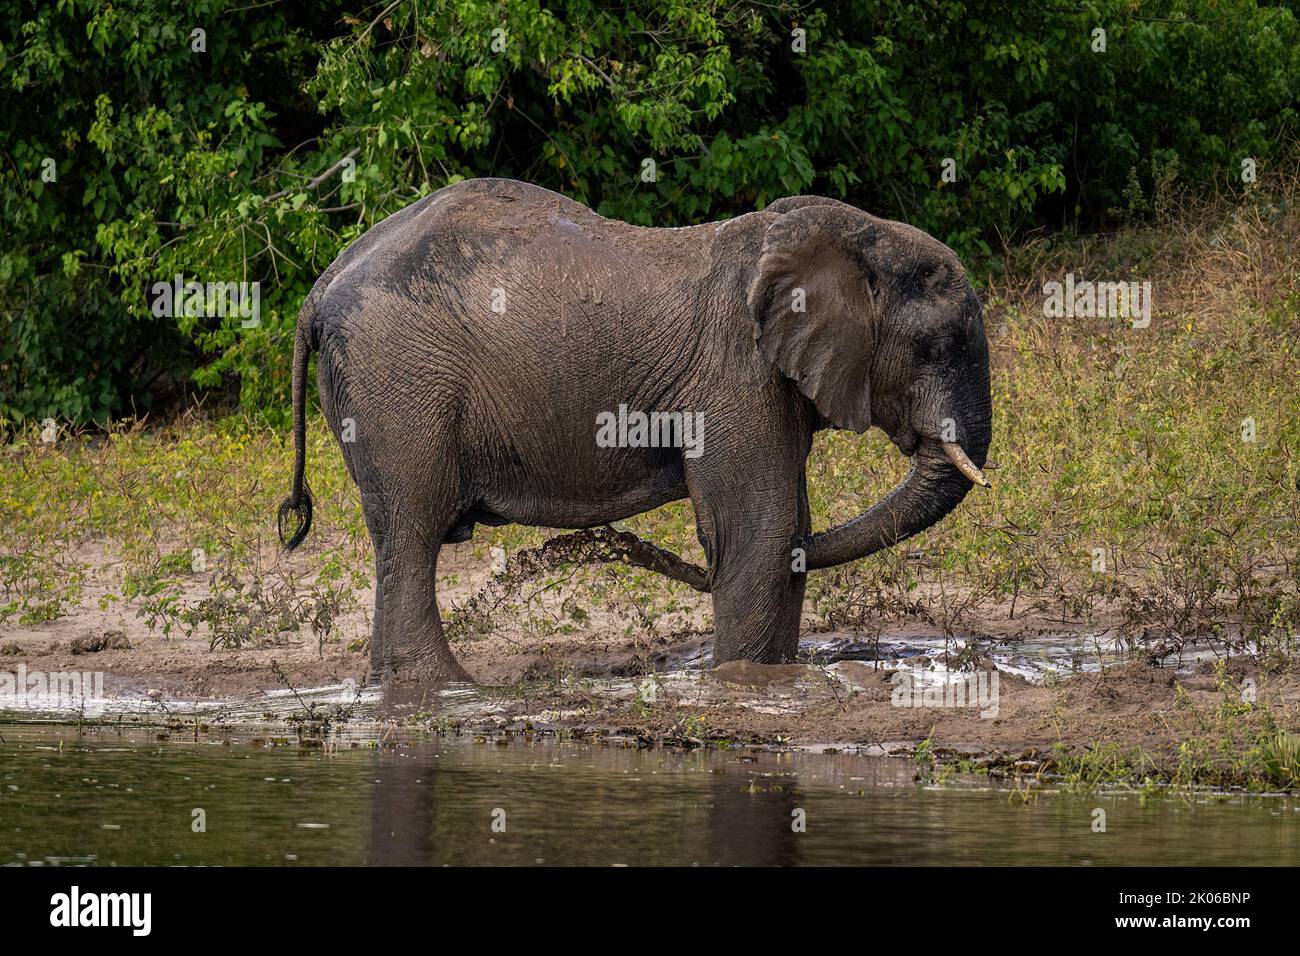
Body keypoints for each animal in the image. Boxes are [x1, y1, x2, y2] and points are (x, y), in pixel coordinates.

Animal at [278, 178, 991, 684]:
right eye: (937, 346)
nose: (617, 546)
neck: (852, 234)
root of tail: (320, 286)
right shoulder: (735, 371)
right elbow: (757, 531)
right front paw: (741, 681)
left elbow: (789, 525)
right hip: (398, 380)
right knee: (414, 530)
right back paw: (446, 689)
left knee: (401, 536)